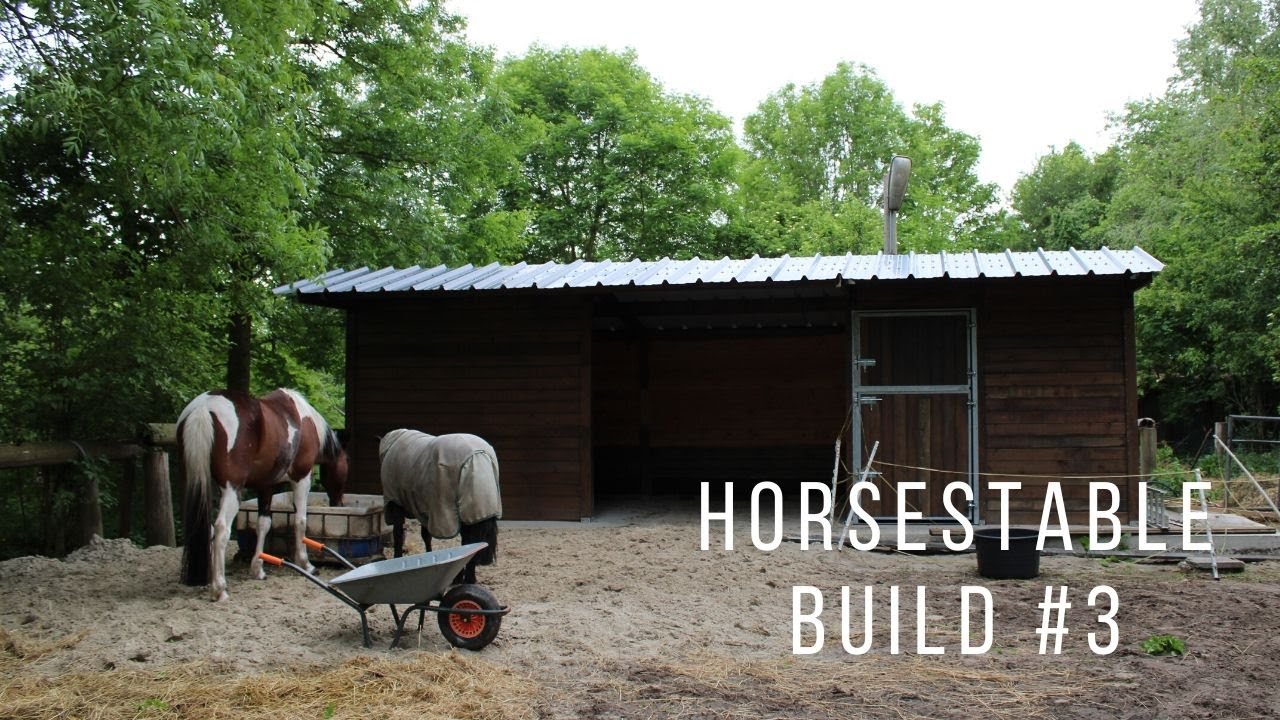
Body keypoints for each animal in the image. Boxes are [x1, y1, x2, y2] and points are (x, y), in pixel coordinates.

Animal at [178, 388, 348, 602]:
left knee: (206, 528)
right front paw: (306, 564)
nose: (339, 502)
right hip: (232, 490)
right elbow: (300, 521)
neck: (306, 420)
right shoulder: (301, 479)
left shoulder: (266, 486)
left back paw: (209, 577)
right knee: (221, 529)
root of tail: (204, 407)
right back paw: (220, 588)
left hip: (198, 483)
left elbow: (264, 524)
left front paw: (258, 568)